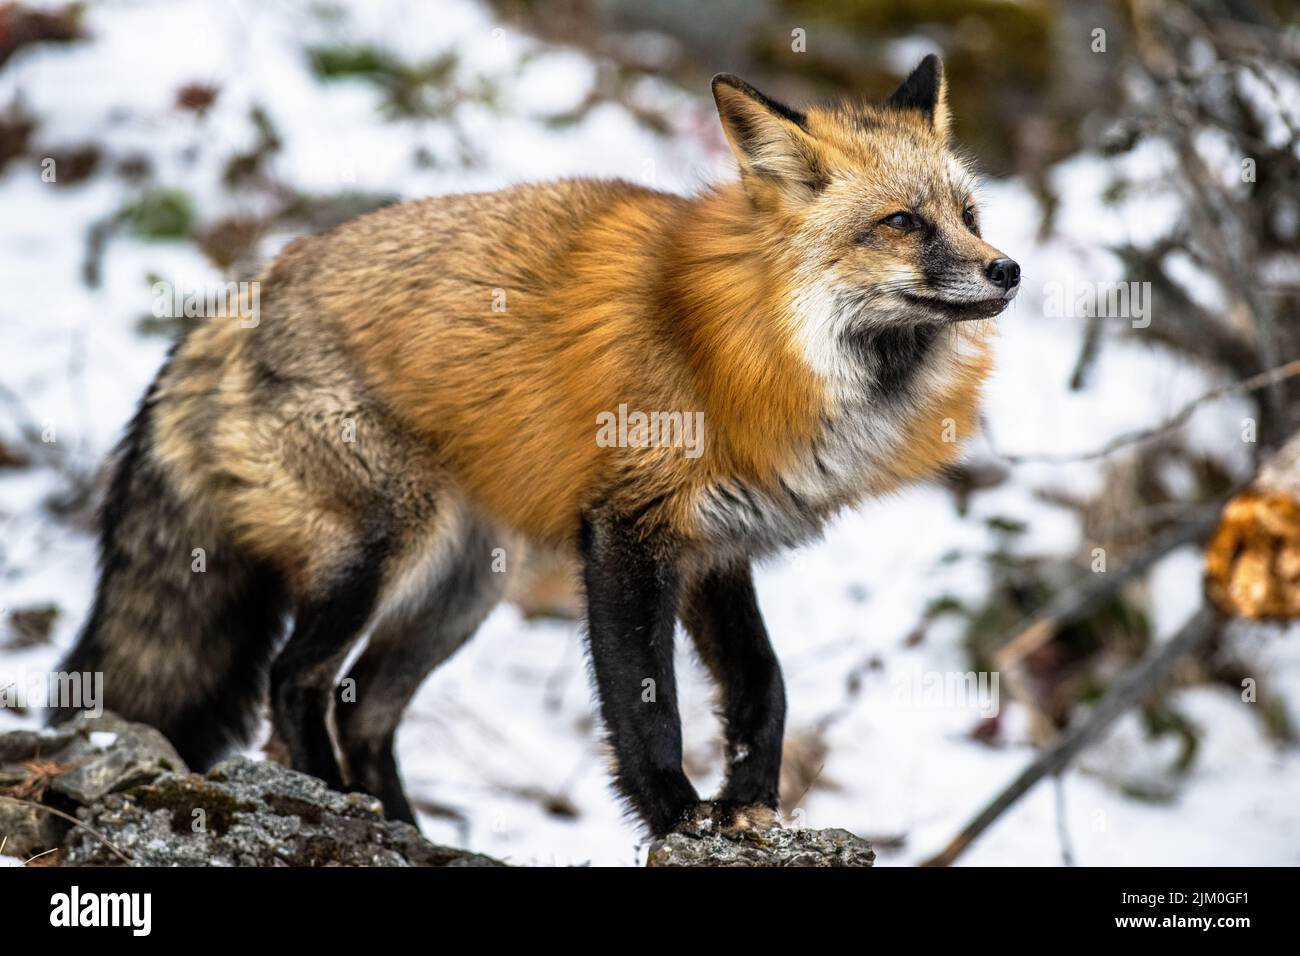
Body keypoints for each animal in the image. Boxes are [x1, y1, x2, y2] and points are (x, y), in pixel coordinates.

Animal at [51, 56, 1019, 839]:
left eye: (969, 214)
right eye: (901, 223)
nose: (1007, 269)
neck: (747, 344)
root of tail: (234, 302)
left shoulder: (717, 544)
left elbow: (762, 683)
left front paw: (751, 799)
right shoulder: (627, 529)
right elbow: (646, 702)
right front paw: (674, 811)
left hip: (464, 587)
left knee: (365, 714)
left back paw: (412, 833)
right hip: (382, 549)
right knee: (294, 682)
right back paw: (342, 807)